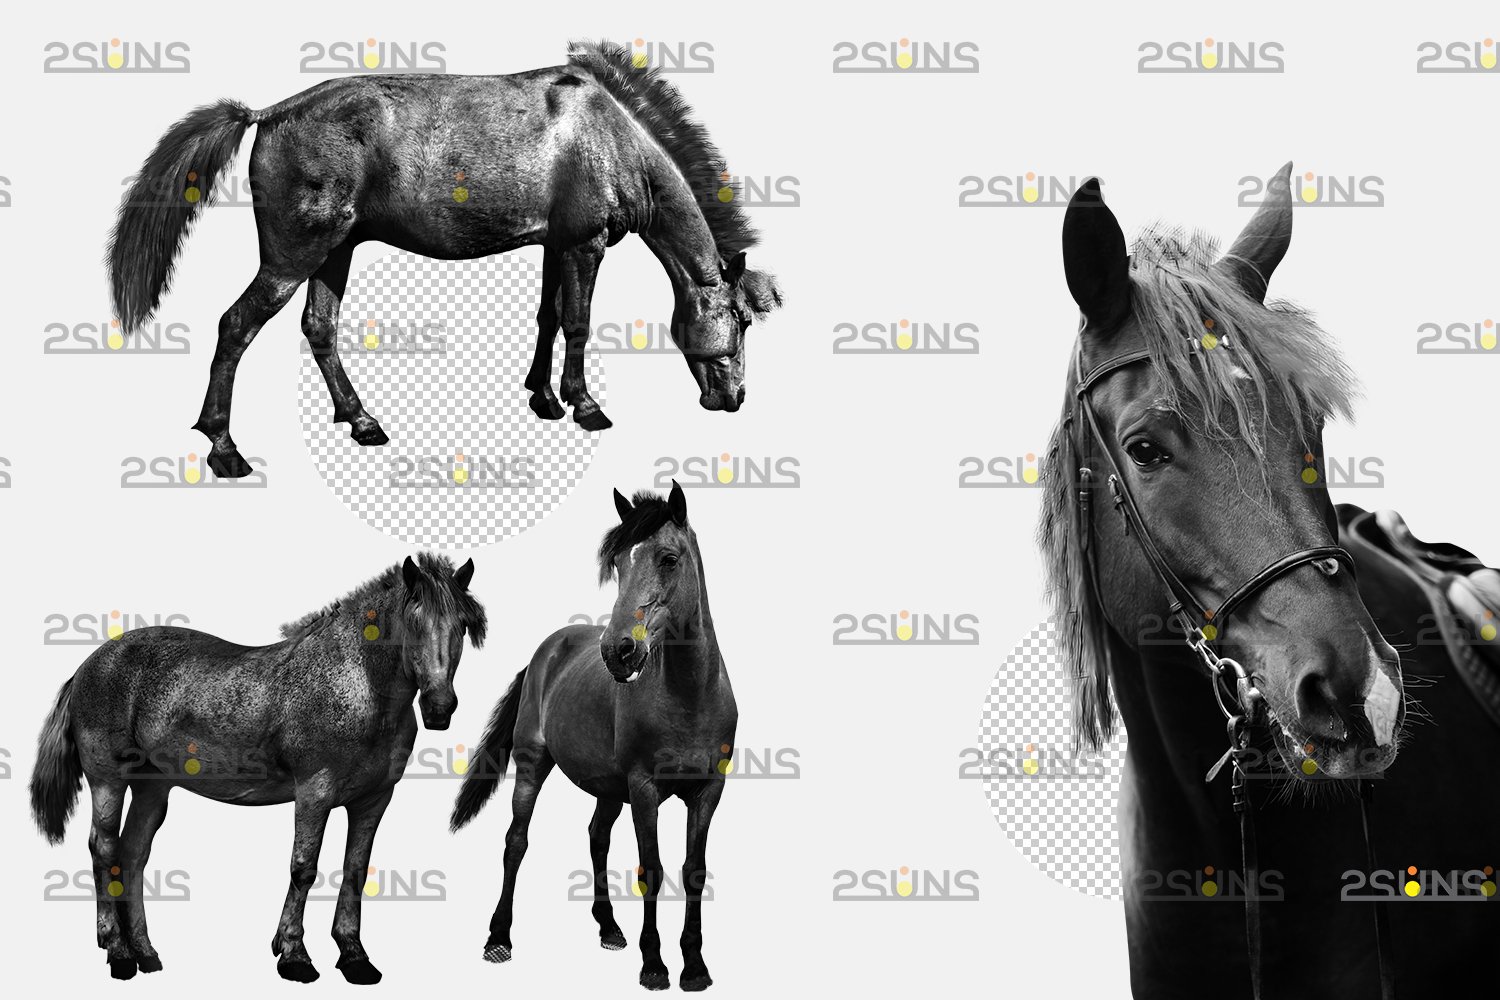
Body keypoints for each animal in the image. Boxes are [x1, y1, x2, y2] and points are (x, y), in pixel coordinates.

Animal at [29, 554, 485, 984]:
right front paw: (294, 956)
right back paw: (119, 952)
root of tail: (88, 665)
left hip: (152, 788)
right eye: (413, 622)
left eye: (463, 625)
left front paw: (355, 958)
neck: (358, 686)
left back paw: (145, 952)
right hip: (108, 780)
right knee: (103, 848)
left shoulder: (373, 800)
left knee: (133, 853)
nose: (439, 708)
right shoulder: (314, 792)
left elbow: (355, 870)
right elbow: (303, 868)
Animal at [106, 39, 783, 479]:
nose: (734, 398)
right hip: (293, 259)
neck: (609, 134)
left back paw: (361, 421)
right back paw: (224, 449)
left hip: (334, 252)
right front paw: (584, 406)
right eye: (743, 321)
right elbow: (580, 324)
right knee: (235, 326)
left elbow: (548, 318)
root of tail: (272, 112)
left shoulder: (554, 244)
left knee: (319, 329)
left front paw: (543, 398)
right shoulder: (584, 245)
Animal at [451, 482, 736, 992]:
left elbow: (694, 871)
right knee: (516, 842)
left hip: (607, 787)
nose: (617, 651)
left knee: (596, 837)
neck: (690, 696)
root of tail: (545, 651)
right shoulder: (644, 789)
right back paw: (498, 938)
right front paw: (654, 967)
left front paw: (696, 968)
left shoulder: (709, 789)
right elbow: (651, 870)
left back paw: (609, 928)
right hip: (532, 765)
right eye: (618, 563)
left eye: (669, 558)